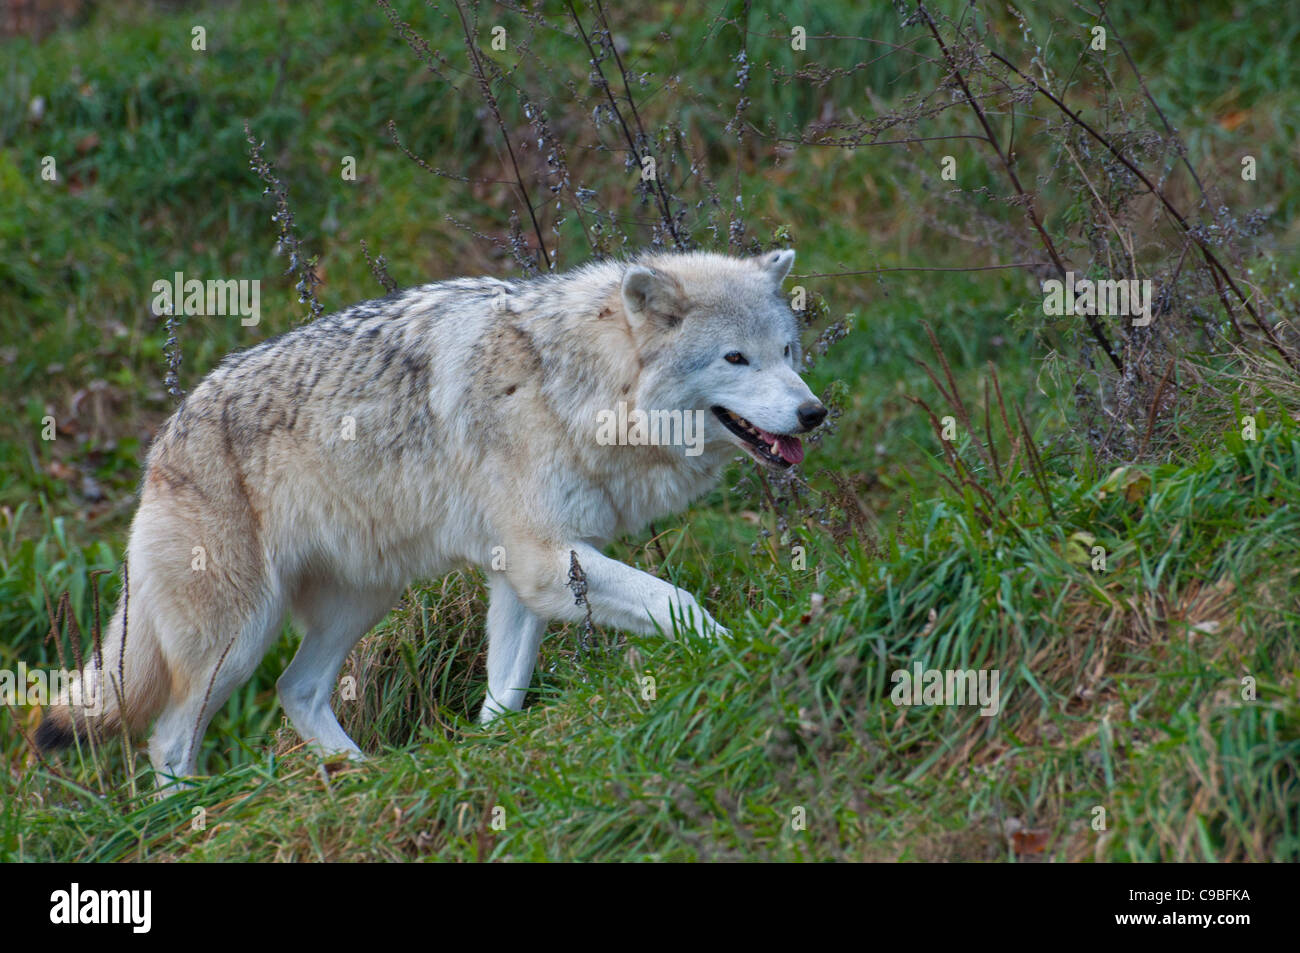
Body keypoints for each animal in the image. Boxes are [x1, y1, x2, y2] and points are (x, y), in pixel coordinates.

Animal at [35, 249, 827, 787]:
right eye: (736, 357)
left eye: (788, 351)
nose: (814, 412)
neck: (578, 385)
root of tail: (162, 439)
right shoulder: (545, 562)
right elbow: (678, 600)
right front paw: (739, 650)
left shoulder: (525, 574)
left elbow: (505, 687)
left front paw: (489, 748)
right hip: (236, 637)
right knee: (169, 739)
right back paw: (192, 809)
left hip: (359, 600)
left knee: (297, 690)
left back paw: (360, 773)